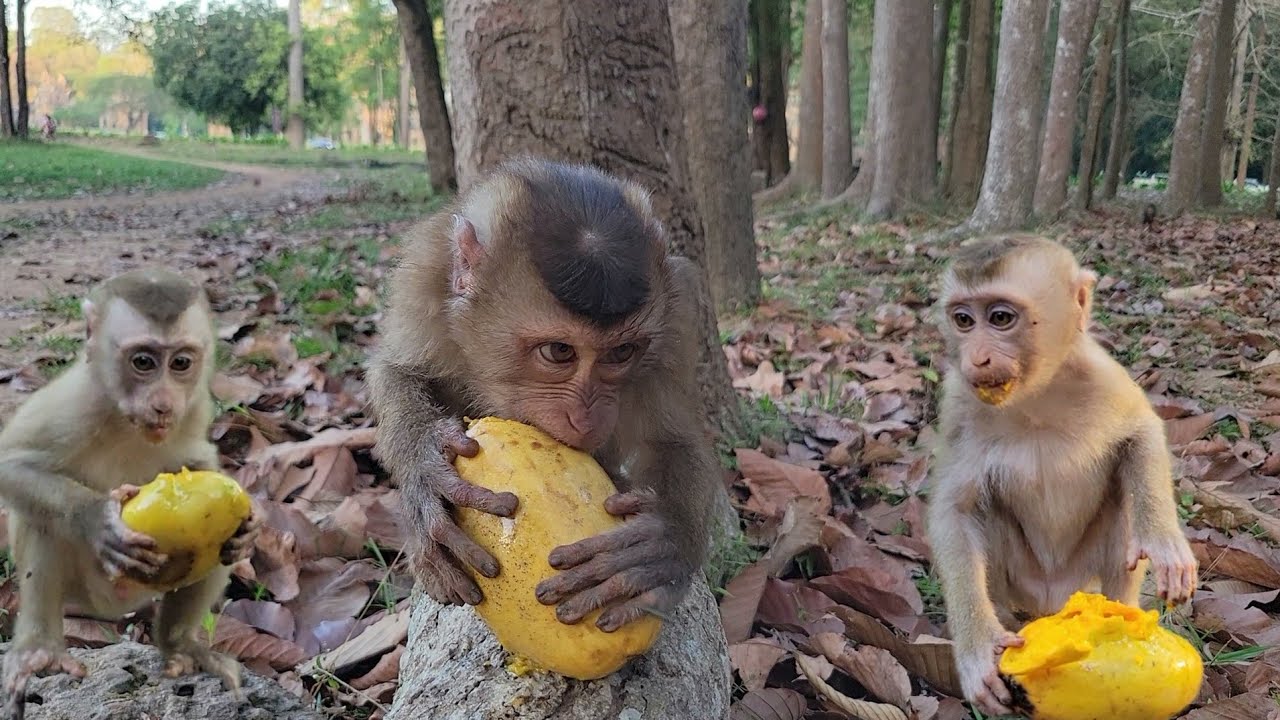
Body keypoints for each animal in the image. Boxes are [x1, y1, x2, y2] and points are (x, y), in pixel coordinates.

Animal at [0, 269, 261, 715]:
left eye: (181, 363)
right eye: (143, 362)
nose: (163, 404)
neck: (125, 420)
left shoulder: (194, 406)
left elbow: (202, 461)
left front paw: (247, 532)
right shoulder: (75, 400)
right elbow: (11, 464)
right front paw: (98, 520)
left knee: (218, 550)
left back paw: (180, 644)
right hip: (90, 587)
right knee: (42, 522)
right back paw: (41, 649)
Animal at [367, 157, 719, 636]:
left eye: (621, 352)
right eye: (558, 352)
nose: (585, 418)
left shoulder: (678, 313)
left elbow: (670, 438)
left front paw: (666, 536)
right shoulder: (424, 273)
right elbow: (396, 370)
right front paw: (426, 470)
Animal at [924, 235, 1197, 717]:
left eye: (1000, 318)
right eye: (963, 320)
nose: (977, 357)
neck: (1036, 397)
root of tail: (1053, 603)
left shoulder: (1102, 372)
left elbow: (1141, 434)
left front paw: (1164, 541)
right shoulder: (958, 401)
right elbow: (954, 512)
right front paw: (978, 650)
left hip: (1080, 575)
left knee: (1121, 500)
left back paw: (1119, 613)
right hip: (1022, 584)